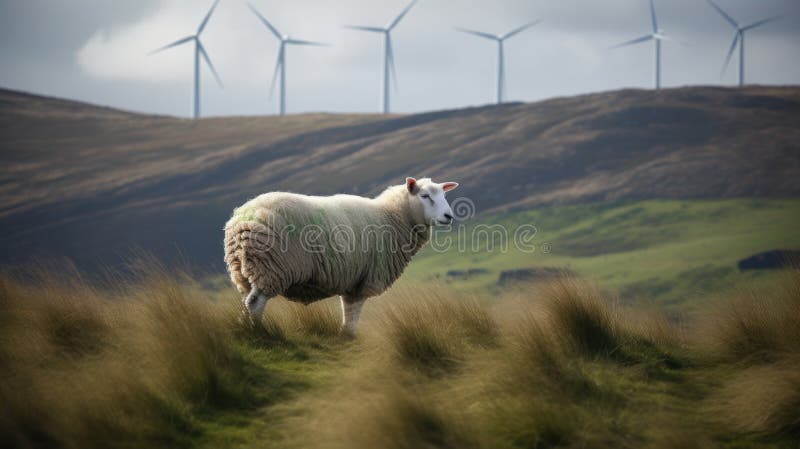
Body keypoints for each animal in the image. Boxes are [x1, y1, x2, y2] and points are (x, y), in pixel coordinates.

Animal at [224, 177, 459, 336]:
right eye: (425, 196)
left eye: (444, 195)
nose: (449, 216)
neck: (392, 217)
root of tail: (241, 221)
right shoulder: (365, 280)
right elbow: (353, 317)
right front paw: (350, 339)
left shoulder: (353, 281)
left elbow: (347, 315)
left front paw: (345, 337)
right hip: (271, 267)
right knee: (255, 302)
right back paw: (258, 331)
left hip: (246, 269)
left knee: (247, 301)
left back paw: (244, 327)